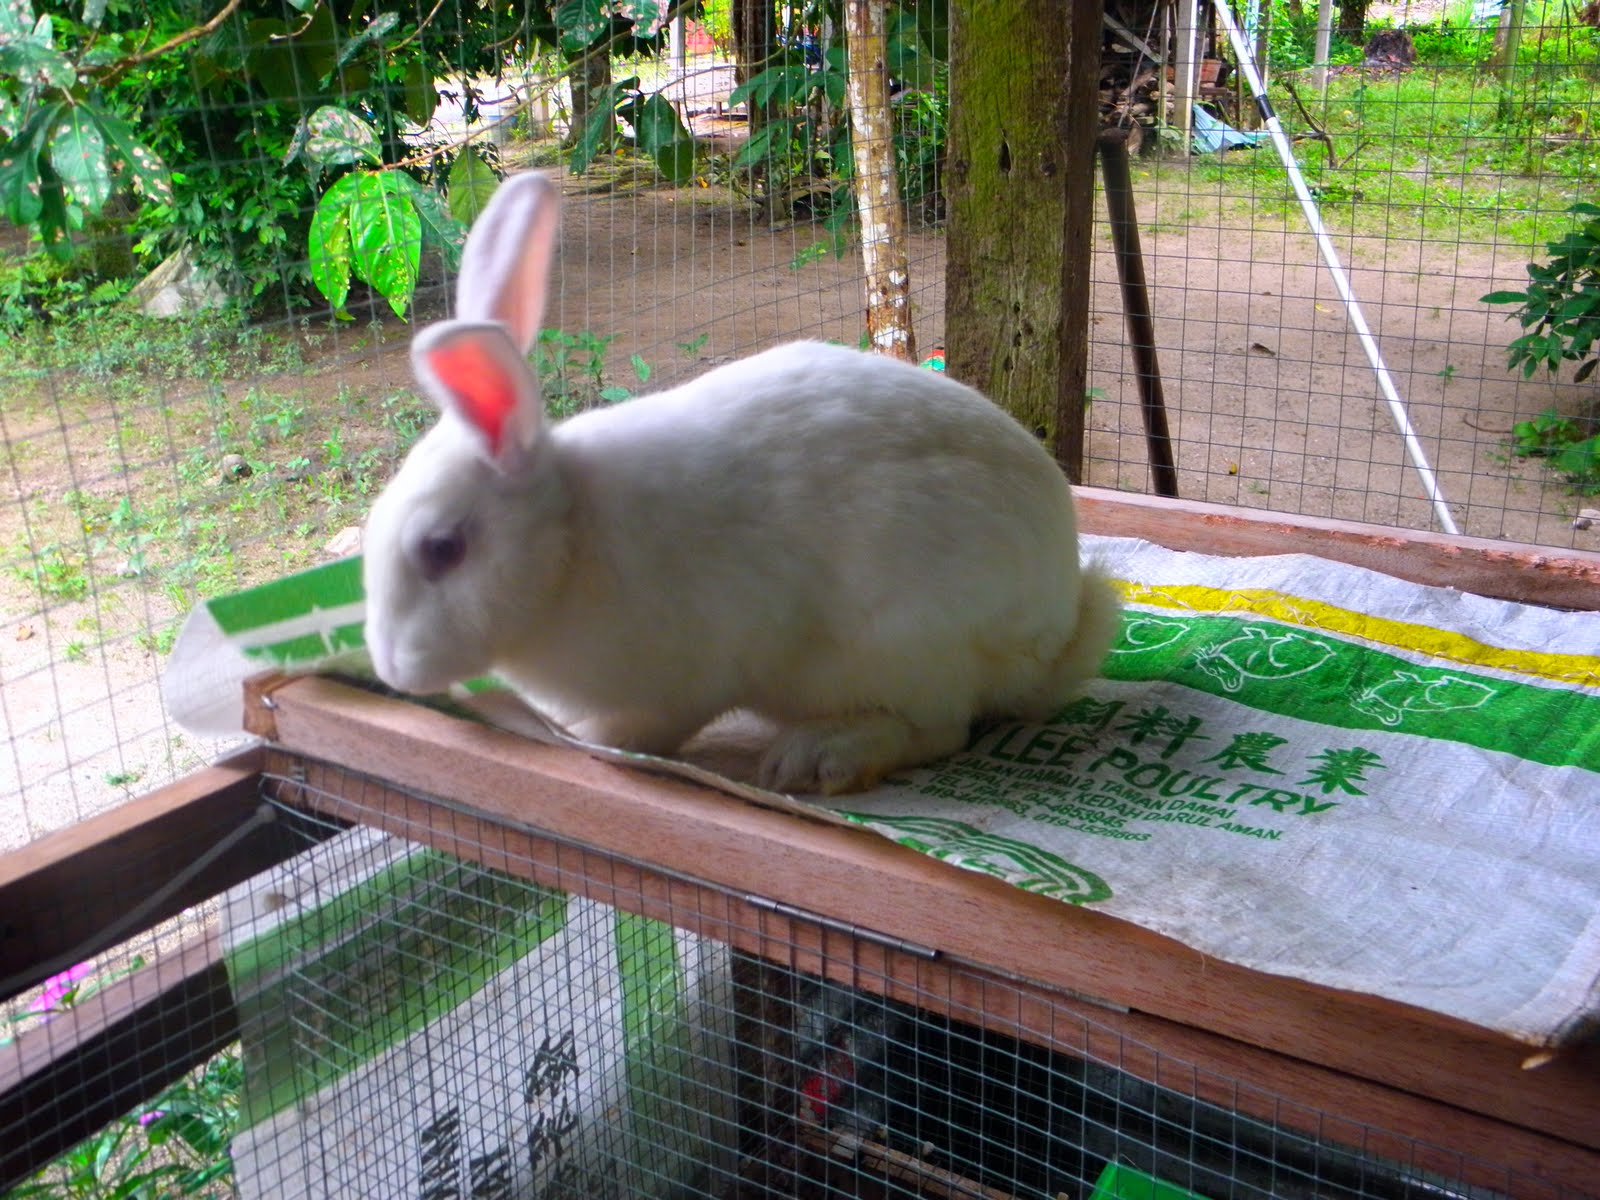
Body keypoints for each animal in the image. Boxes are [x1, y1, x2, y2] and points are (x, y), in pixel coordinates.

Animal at [362, 171, 1122, 795]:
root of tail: (1059, 628)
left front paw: (580, 740)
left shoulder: (680, 683)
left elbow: (637, 731)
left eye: (442, 549)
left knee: (941, 729)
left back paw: (820, 756)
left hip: (908, 644)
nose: (395, 671)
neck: (571, 545)